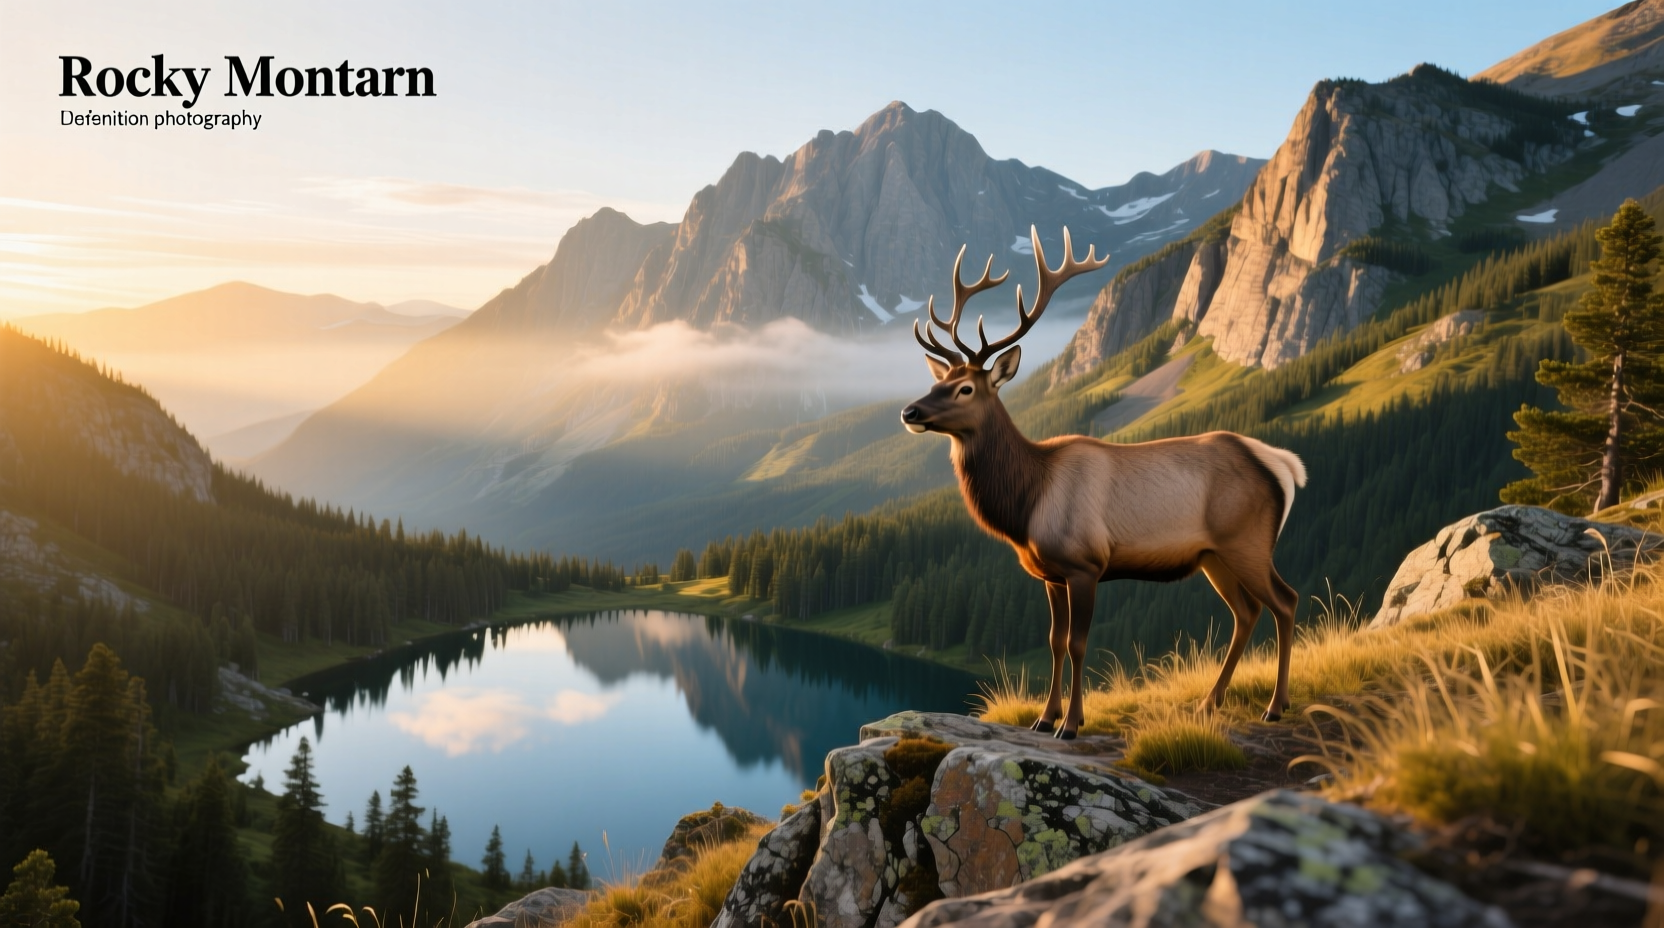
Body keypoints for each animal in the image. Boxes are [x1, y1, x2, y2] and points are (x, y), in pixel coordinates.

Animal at [900, 227, 1307, 738]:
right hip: (1214, 555)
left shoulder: (1085, 564)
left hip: (1248, 541)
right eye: (938, 381)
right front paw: (1043, 717)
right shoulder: (1049, 574)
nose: (909, 411)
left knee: (1286, 601)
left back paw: (1276, 705)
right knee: (1246, 612)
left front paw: (1072, 723)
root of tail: (1283, 466)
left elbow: (1078, 643)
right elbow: (1054, 642)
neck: (1027, 504)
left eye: (965, 388)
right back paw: (1208, 704)